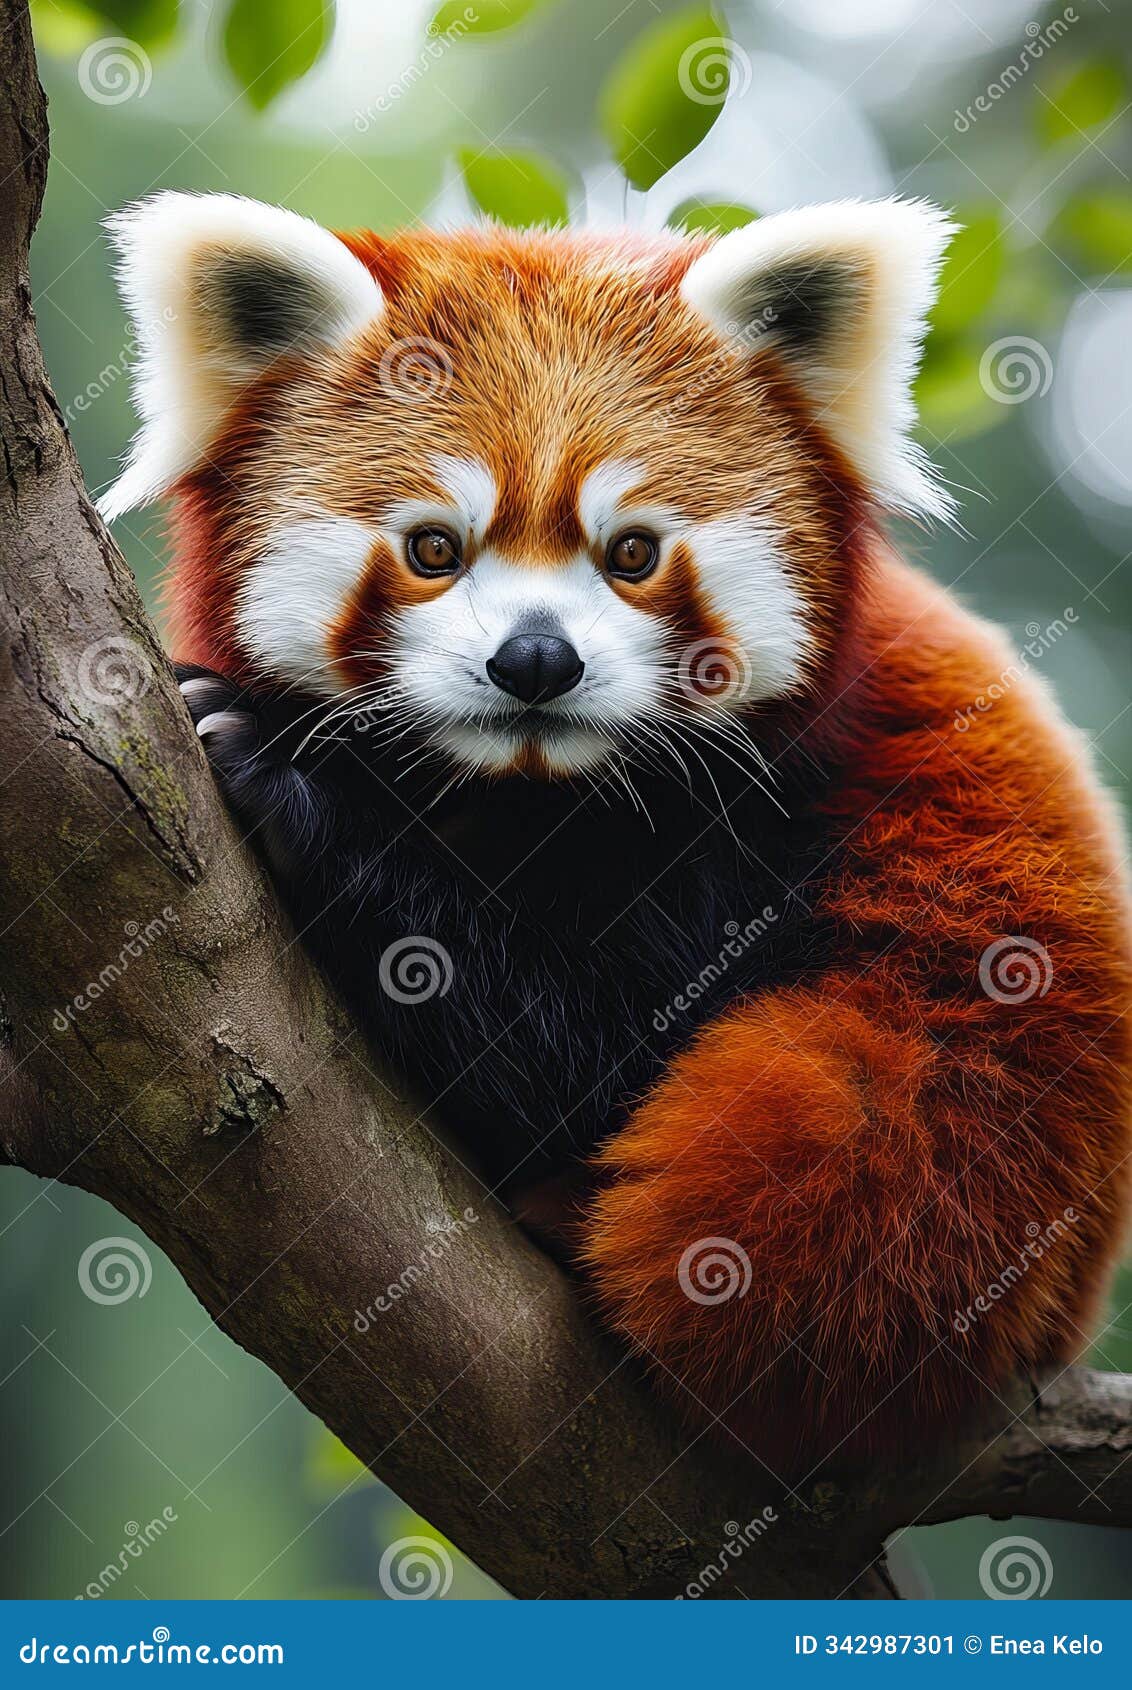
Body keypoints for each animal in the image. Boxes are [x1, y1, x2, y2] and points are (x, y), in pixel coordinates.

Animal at [101, 191, 1132, 1476]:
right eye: (433, 548)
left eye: (631, 551)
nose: (536, 659)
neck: (529, 791)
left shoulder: (767, 820)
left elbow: (591, 1054)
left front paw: (297, 778)